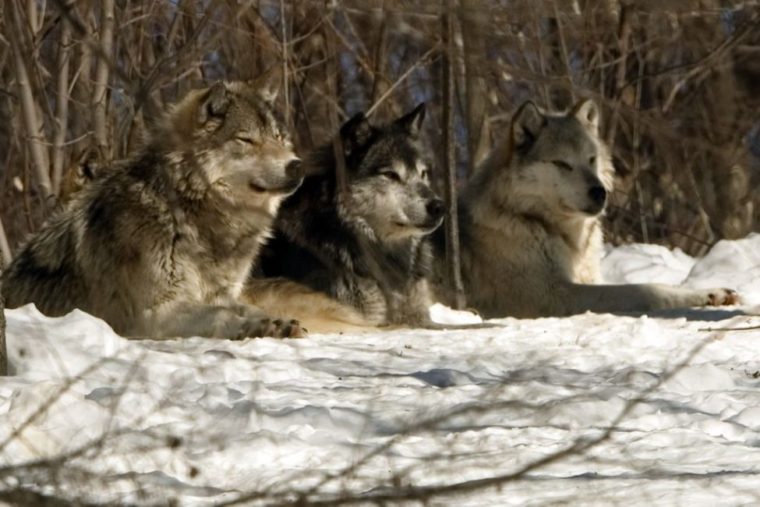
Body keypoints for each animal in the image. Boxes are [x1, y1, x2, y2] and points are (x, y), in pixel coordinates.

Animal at [2, 78, 305, 339]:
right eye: (246, 140)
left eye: (279, 137)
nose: (297, 165)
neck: (183, 209)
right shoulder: (152, 313)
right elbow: (220, 315)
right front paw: (259, 327)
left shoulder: (221, 294)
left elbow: (249, 307)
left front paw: (276, 322)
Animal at [436, 99, 739, 318]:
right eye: (562, 163)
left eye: (591, 159)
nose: (599, 192)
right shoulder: (552, 296)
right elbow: (644, 290)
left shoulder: (586, 280)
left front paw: (712, 294)